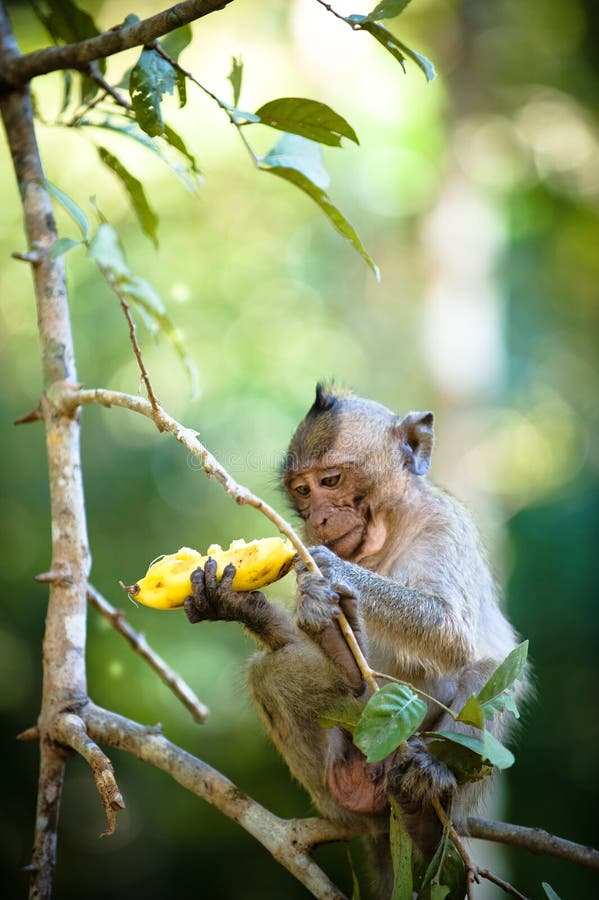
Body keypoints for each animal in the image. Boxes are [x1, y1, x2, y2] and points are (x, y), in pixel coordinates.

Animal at [184, 384, 523, 894]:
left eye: (332, 480)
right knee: (270, 672)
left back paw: (428, 804)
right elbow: (292, 640)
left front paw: (333, 569)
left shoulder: (444, 525)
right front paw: (234, 602)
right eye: (303, 490)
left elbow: (452, 631)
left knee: (488, 668)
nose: (320, 518)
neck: (384, 538)